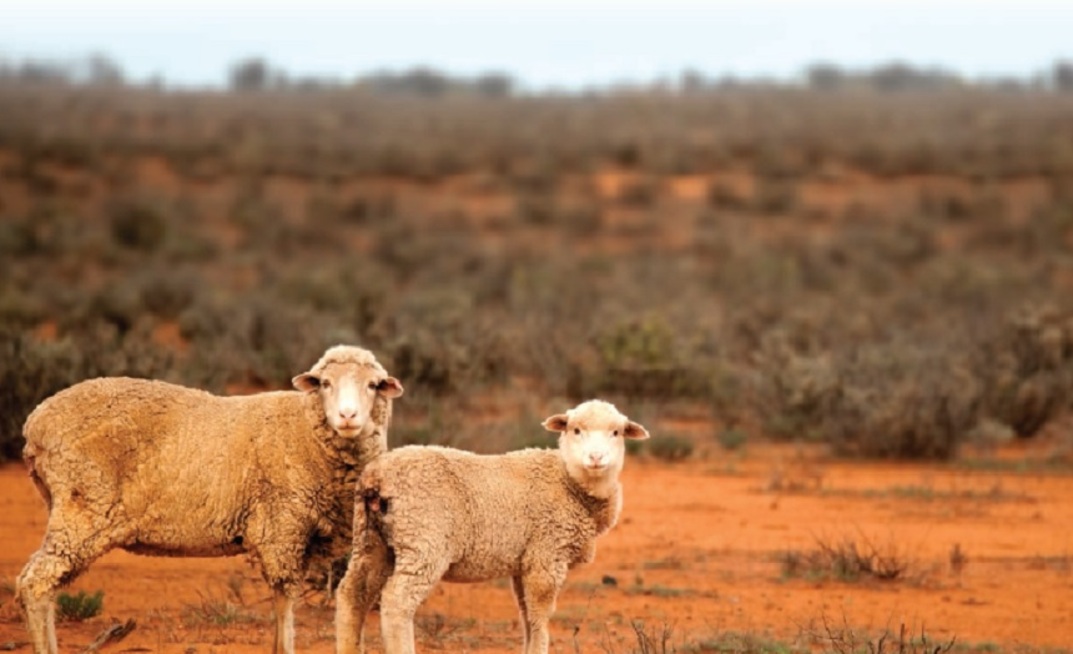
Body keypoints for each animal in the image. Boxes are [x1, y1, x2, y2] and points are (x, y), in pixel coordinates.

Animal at [16, 345, 403, 654]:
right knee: (35, 584)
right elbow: (284, 604)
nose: (348, 416)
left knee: (41, 584)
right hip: (82, 511)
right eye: (325, 384)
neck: (305, 431)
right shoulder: (282, 529)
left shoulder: (298, 539)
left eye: (373, 385)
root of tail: (35, 423)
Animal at [334, 399, 649, 654]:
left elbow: (526, 615)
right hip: (423, 542)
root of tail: (377, 476)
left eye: (617, 432)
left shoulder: (525, 563)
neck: (569, 482)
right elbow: (540, 616)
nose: (596, 458)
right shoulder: (546, 556)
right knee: (397, 602)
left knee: (351, 594)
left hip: (372, 539)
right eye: (575, 430)